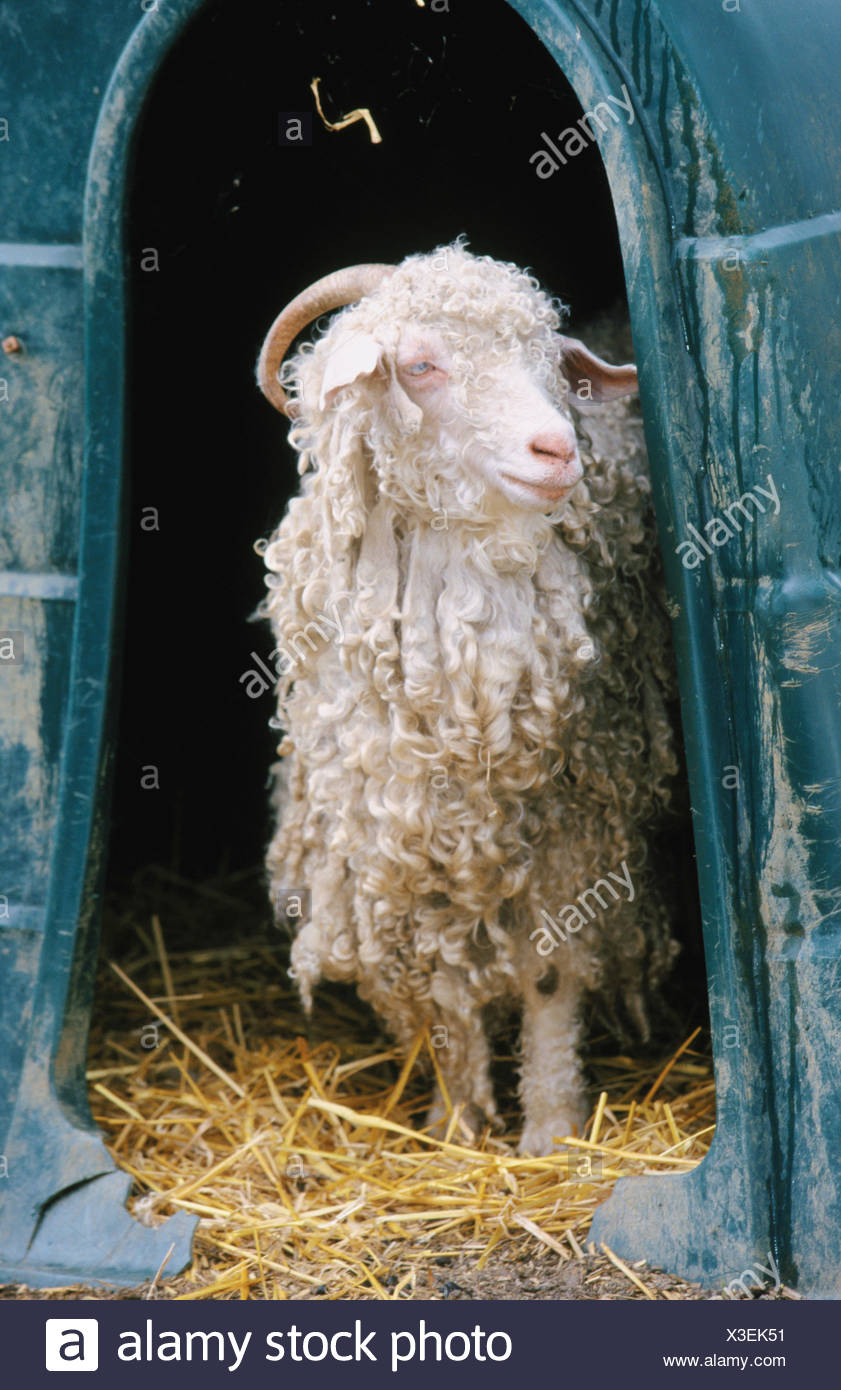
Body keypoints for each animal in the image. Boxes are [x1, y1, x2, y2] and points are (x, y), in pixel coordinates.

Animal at [255, 242, 680, 1156]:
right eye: (420, 366)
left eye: (550, 364)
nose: (556, 451)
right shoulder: (392, 840)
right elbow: (446, 987)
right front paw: (453, 1122)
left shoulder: (573, 830)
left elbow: (552, 972)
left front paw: (550, 1129)